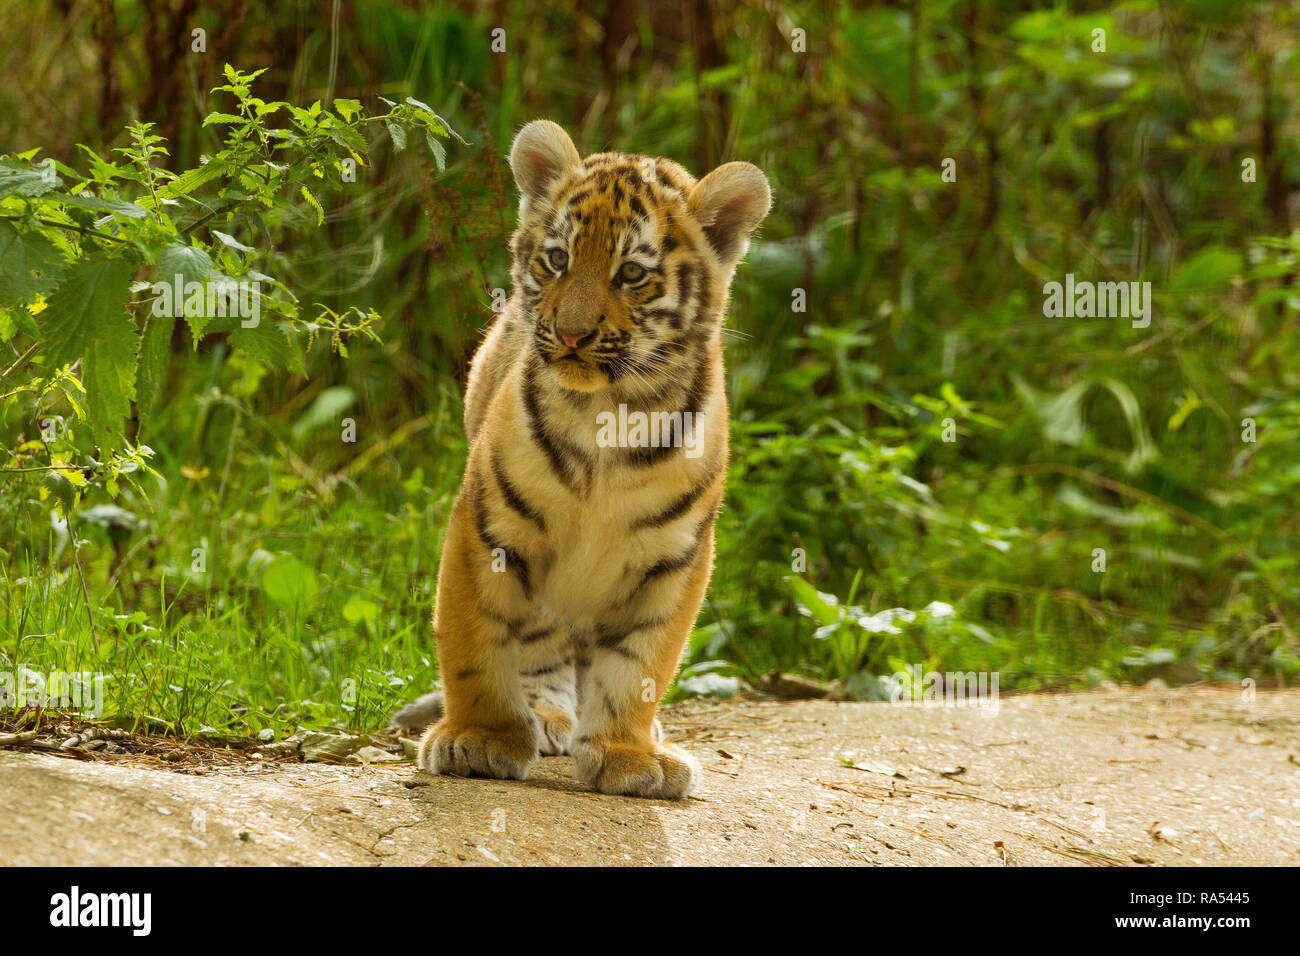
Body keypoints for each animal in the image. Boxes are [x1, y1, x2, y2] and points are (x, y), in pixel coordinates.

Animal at [390, 119, 770, 799]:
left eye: (632, 273)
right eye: (558, 259)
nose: (571, 334)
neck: (607, 413)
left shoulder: (675, 555)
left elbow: (641, 665)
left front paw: (628, 754)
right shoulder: (486, 529)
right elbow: (473, 642)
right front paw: (479, 738)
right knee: (540, 645)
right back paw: (544, 716)